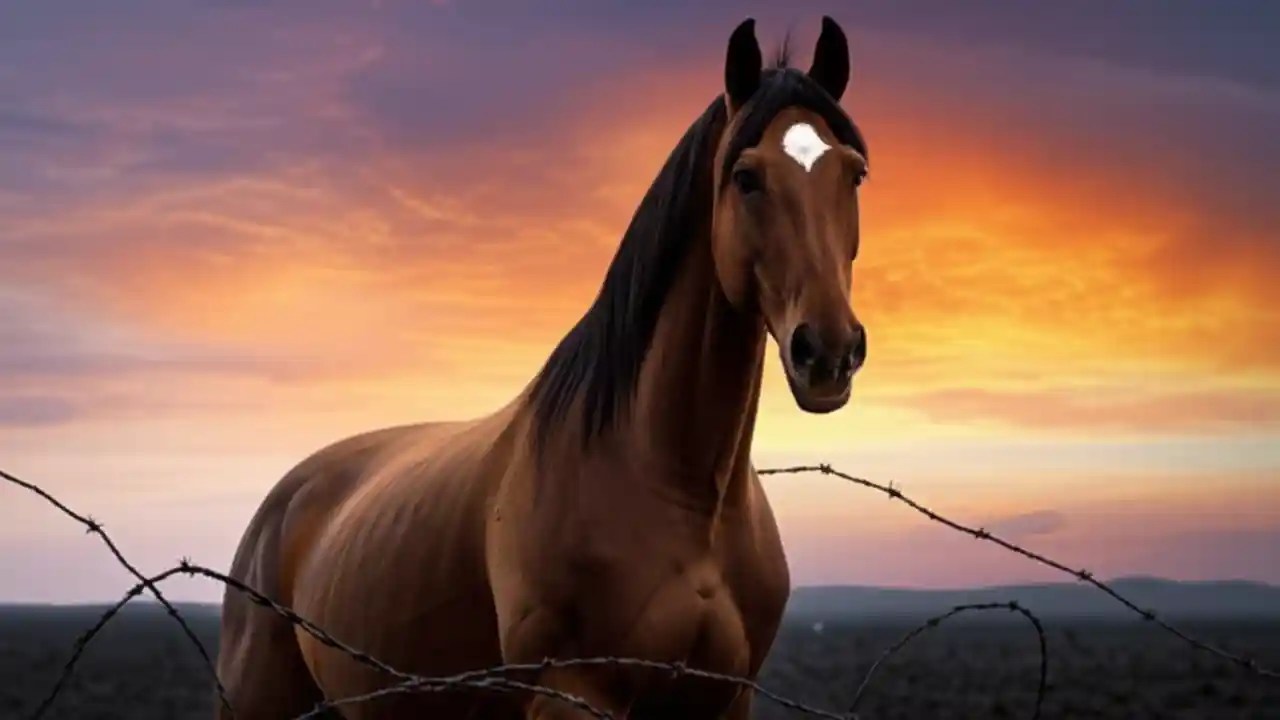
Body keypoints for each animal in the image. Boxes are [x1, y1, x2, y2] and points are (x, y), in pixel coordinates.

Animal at [216, 16, 869, 719]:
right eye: (746, 177)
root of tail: (283, 500)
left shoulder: (725, 699)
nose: (828, 352)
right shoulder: (572, 692)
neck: (681, 491)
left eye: (854, 173)